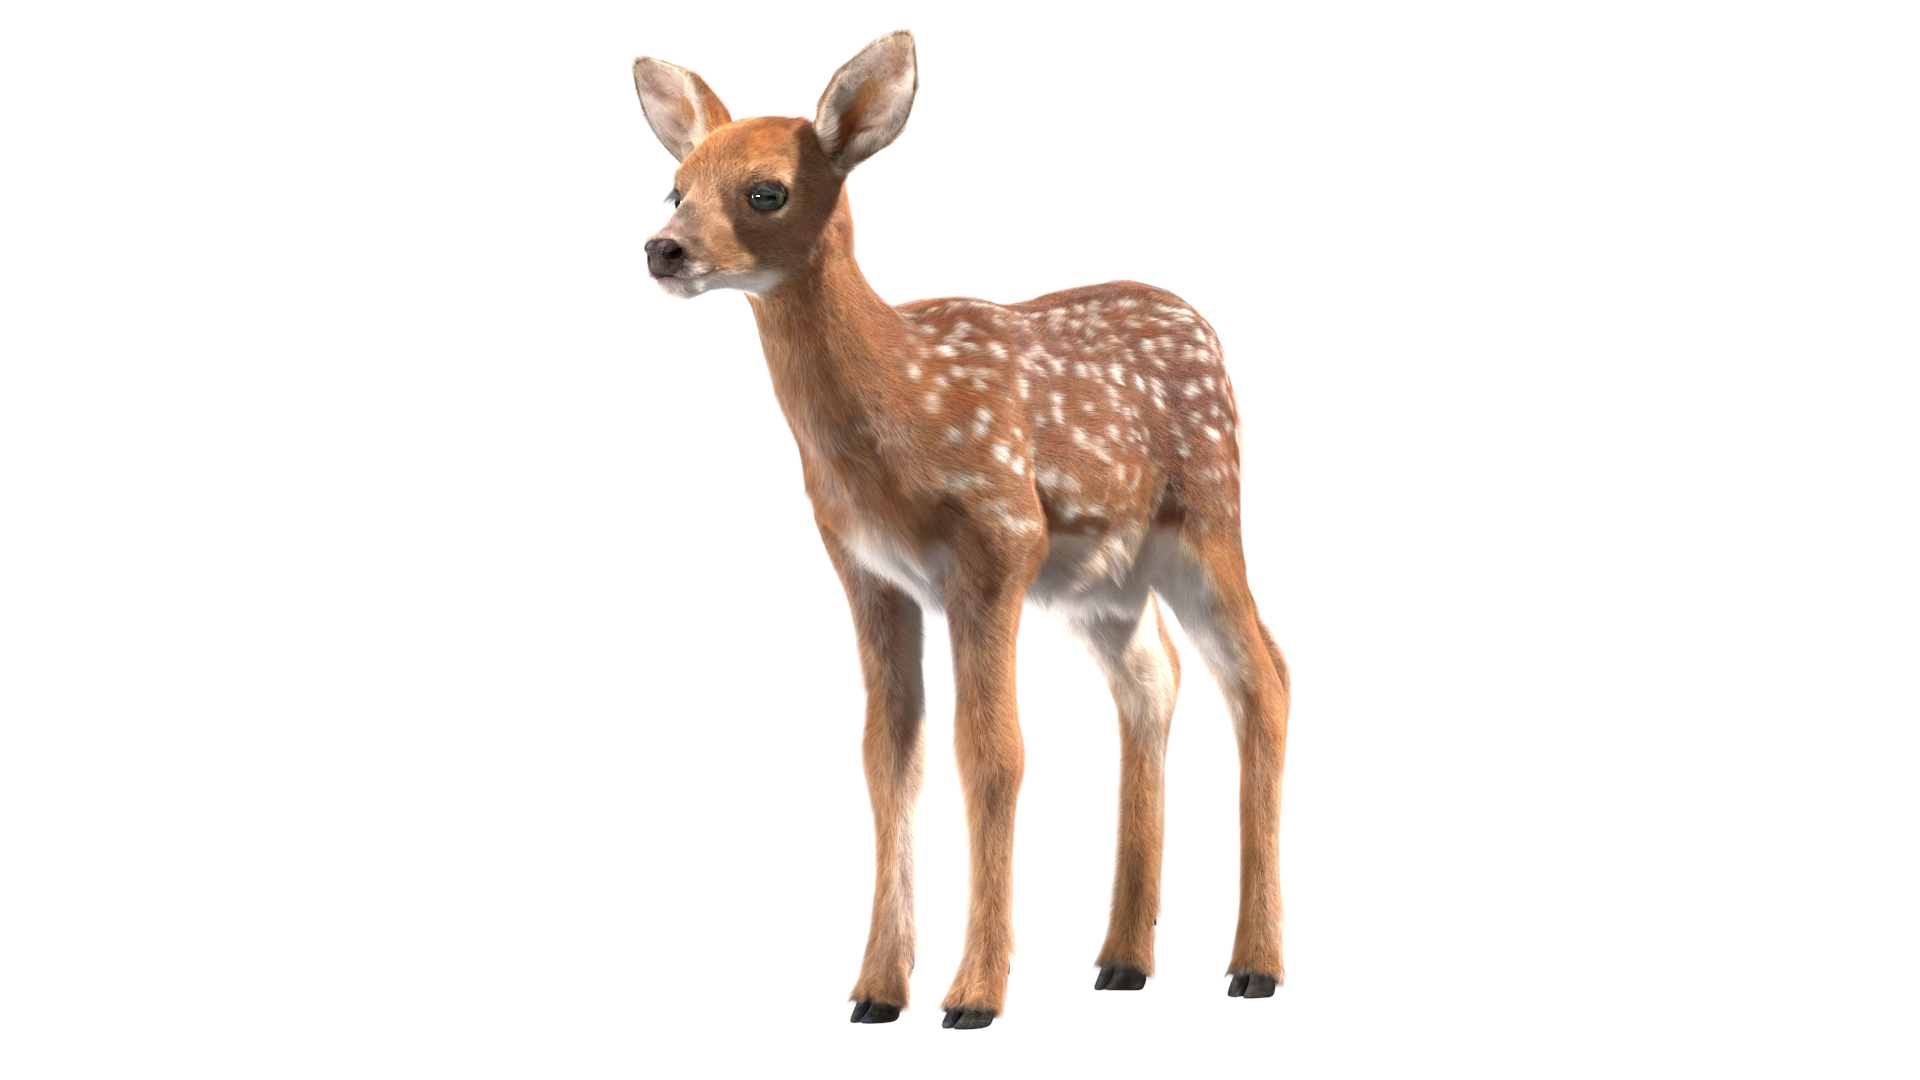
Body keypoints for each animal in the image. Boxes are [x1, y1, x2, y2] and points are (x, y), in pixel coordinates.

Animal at [633, 31, 1288, 1029]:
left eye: (765, 190)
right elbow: (887, 757)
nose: (661, 249)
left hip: (1209, 516)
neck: (902, 401)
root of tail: (1204, 327)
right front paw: (876, 988)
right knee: (1155, 679)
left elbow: (993, 754)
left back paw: (1254, 965)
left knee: (1263, 677)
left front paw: (973, 995)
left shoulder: (999, 537)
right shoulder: (866, 570)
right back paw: (1122, 960)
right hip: (1105, 578)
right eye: (676, 186)